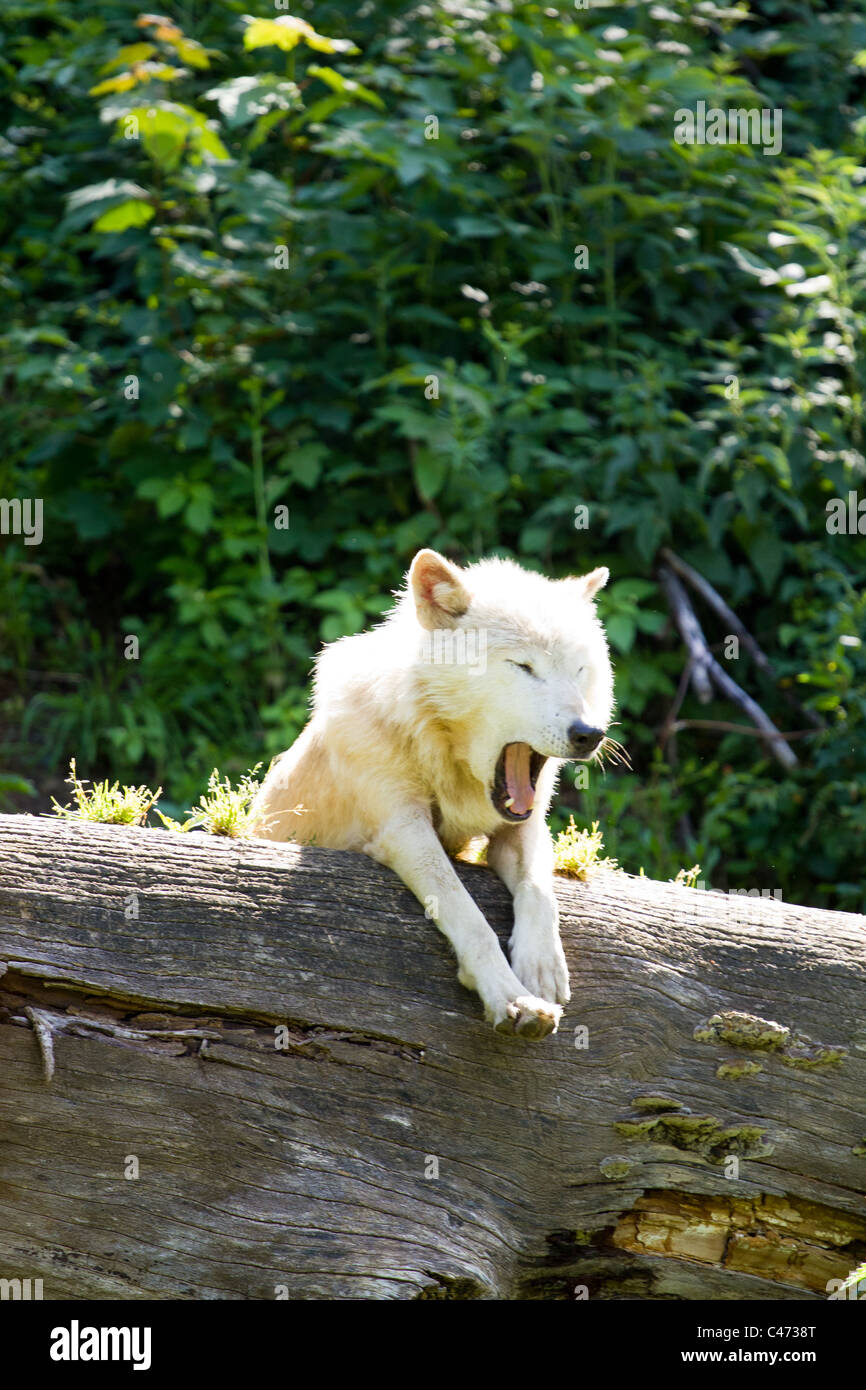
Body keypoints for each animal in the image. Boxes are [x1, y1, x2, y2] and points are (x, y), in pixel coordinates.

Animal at [252, 549, 614, 1039]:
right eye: (524, 667)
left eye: (579, 670)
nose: (589, 734)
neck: (436, 745)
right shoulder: (404, 828)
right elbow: (467, 913)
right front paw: (511, 997)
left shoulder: (521, 828)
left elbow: (540, 891)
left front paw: (540, 970)